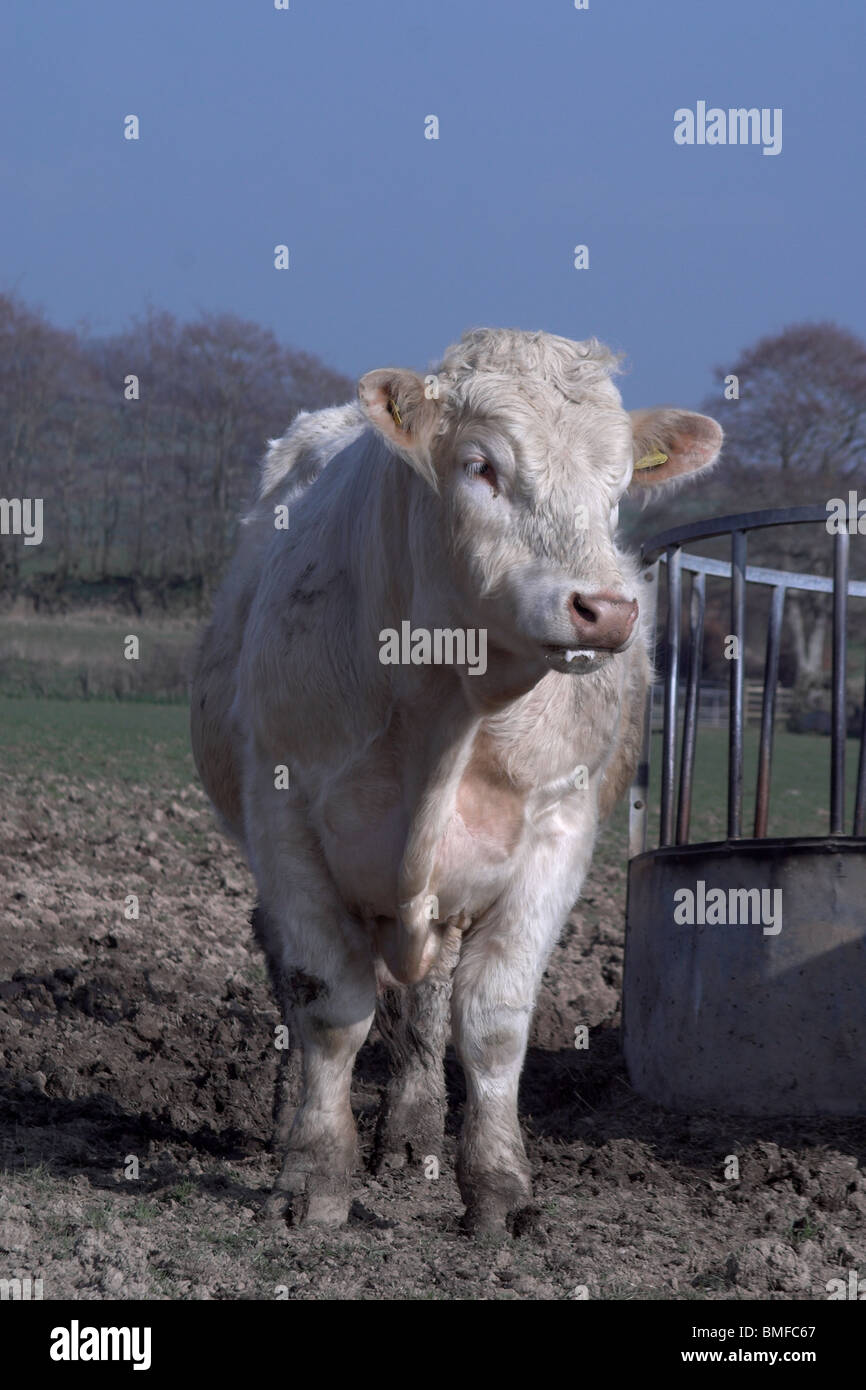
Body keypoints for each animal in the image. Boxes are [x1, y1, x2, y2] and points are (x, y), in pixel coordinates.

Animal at [191, 328, 722, 1235]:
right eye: (482, 466)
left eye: (618, 487)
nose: (607, 610)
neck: (446, 709)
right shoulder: (285, 814)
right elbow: (327, 1003)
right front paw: (314, 1175)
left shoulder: (559, 831)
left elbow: (493, 1021)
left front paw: (499, 1189)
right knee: (289, 968)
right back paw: (287, 1116)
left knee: (430, 995)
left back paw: (411, 1132)